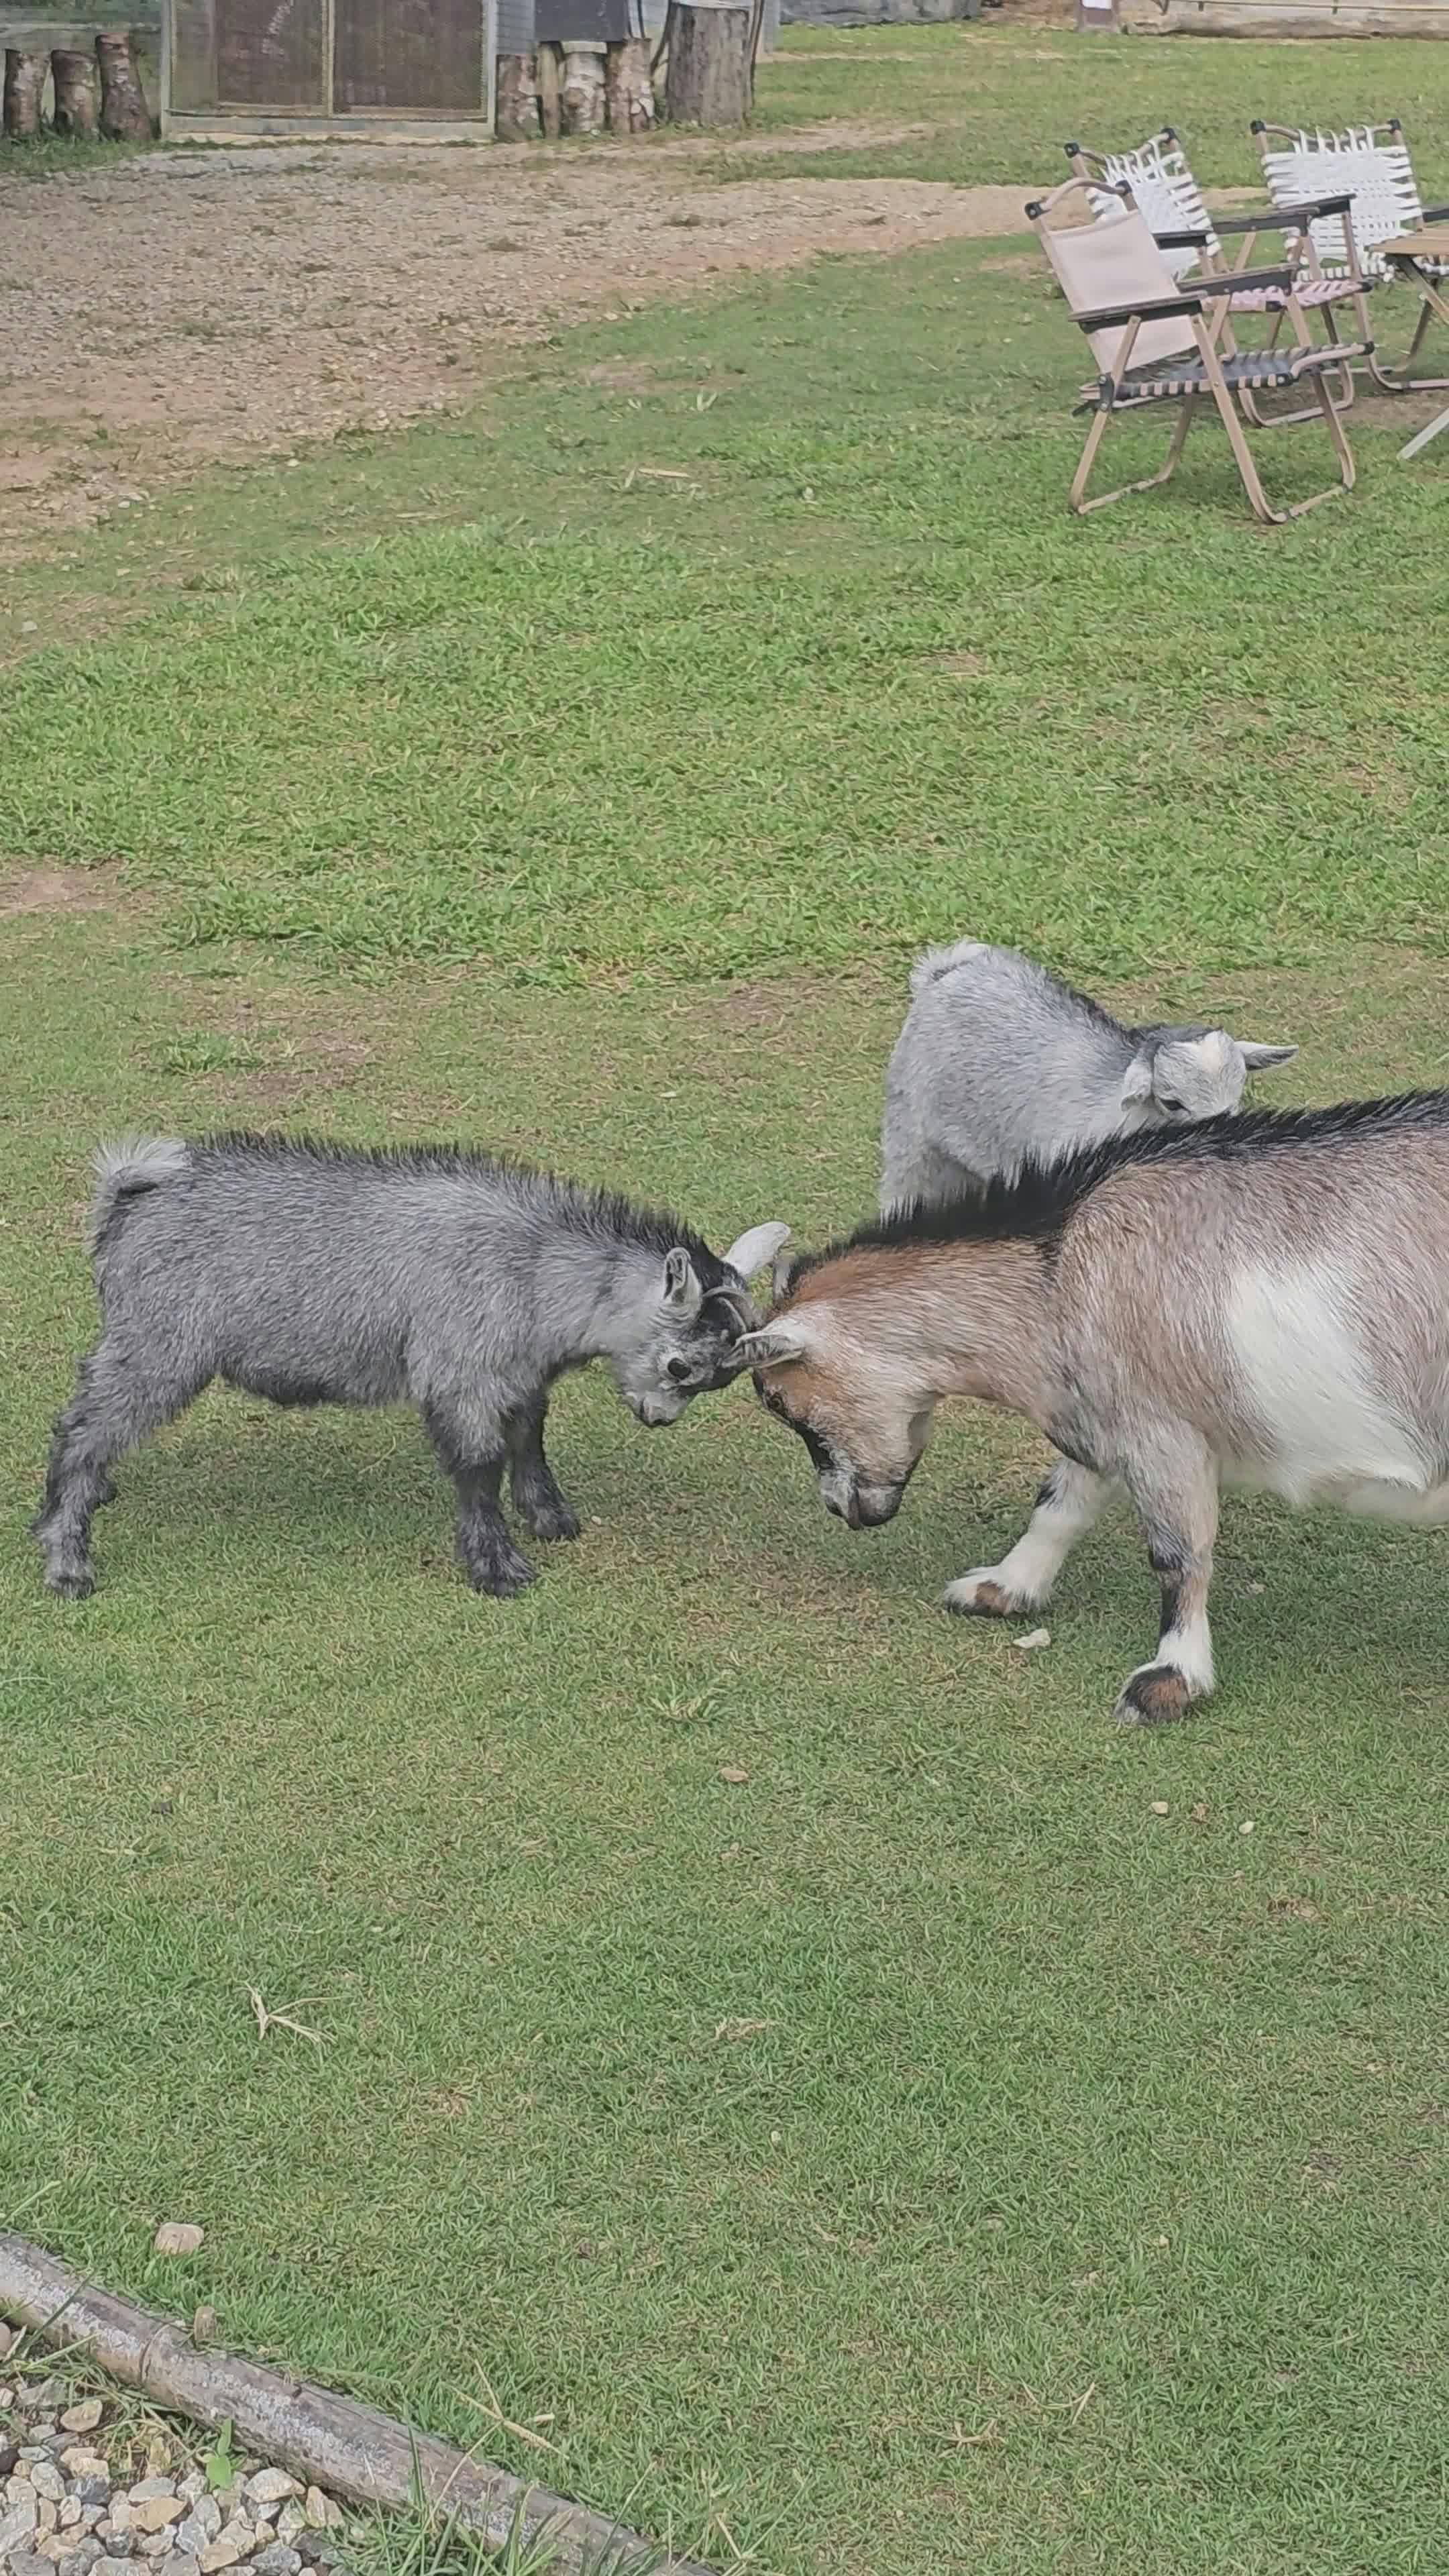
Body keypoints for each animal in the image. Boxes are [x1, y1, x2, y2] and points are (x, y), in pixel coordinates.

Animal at [34, 1132, 789, 1602]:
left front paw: (550, 1517)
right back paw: (67, 1559)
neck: (536, 1271)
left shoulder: (516, 1375)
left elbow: (529, 1437)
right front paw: (498, 1569)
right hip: (162, 1346)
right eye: (682, 1366)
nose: (658, 1418)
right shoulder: (460, 1375)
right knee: (83, 1430)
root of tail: (129, 1201)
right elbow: (480, 1466)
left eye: (718, 1378)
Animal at [743, 1094, 1449, 1724]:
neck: (1056, 1274)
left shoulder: (1160, 1430)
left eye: (782, 1403)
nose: (843, 1508)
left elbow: (1176, 1555)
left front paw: (1169, 1681)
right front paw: (1003, 1588)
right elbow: (1059, 1505)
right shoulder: (1101, 1416)